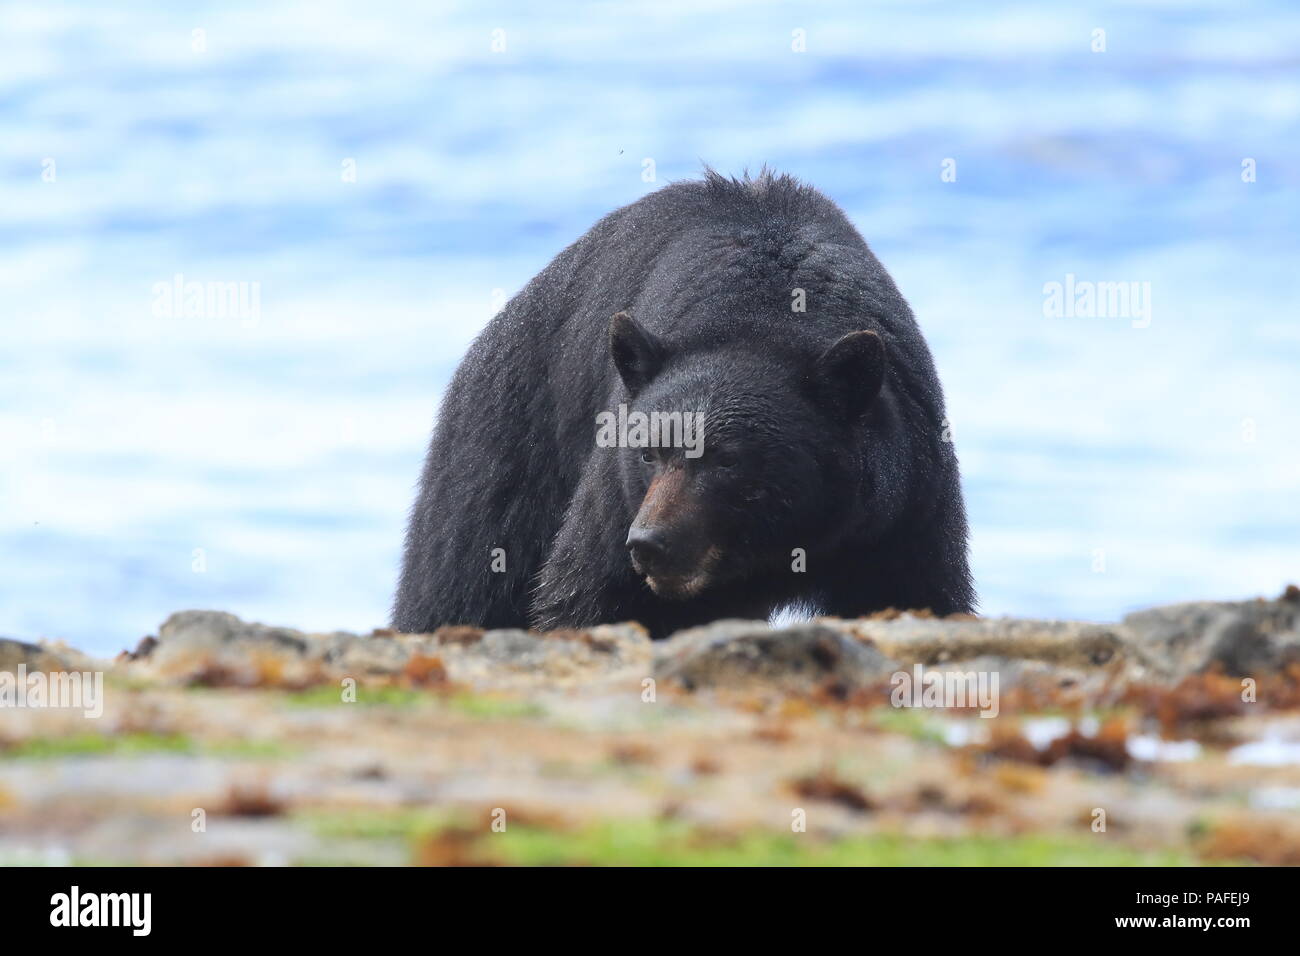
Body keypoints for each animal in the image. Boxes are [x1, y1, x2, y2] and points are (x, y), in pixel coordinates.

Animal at [393, 168, 975, 638]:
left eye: (728, 458)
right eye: (648, 452)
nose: (650, 543)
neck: (764, 322)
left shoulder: (907, 500)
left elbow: (917, 592)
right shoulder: (615, 493)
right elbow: (590, 594)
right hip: (507, 449)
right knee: (461, 583)